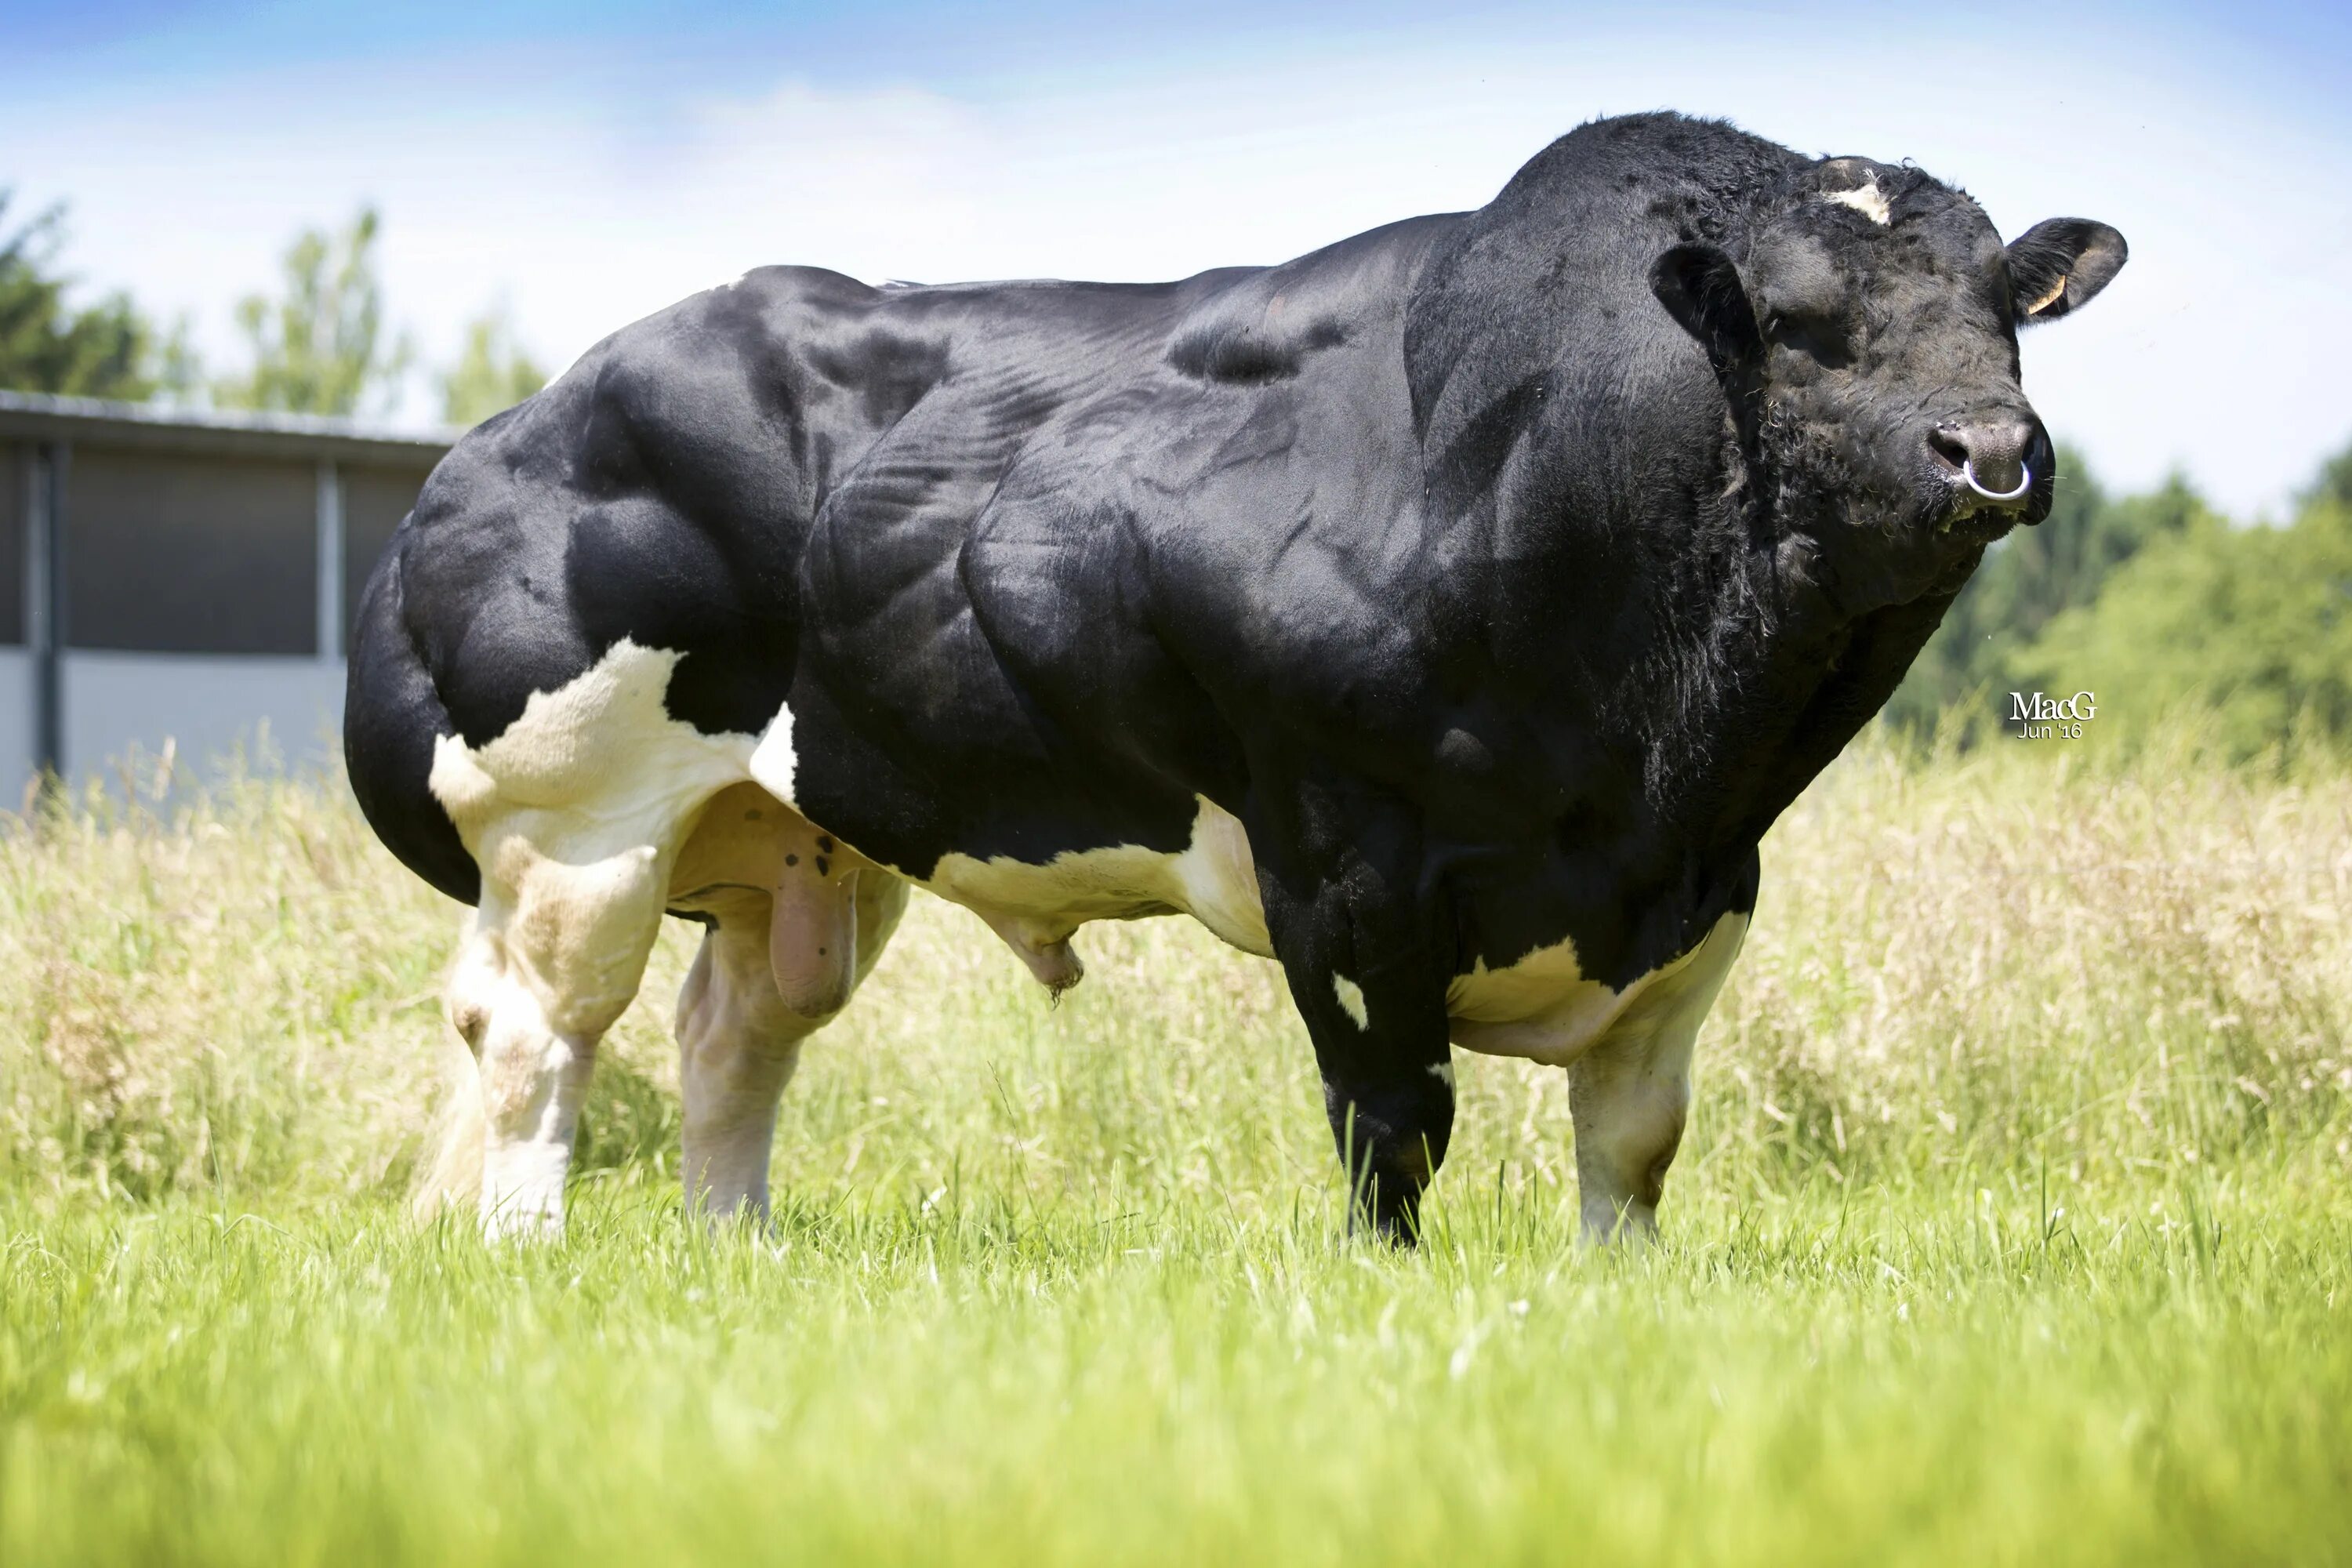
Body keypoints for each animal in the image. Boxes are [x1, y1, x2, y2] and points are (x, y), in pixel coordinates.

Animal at [348, 107, 2136, 1241]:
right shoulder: (1345, 865)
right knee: (539, 1034)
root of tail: (516, 426)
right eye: (1798, 319)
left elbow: (1633, 1147)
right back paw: (527, 1246)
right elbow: (1394, 1125)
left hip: (810, 837)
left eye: (2010, 309)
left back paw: (740, 1250)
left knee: (732, 1038)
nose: (1992, 451)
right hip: (574, 826)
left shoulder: (1705, 894)